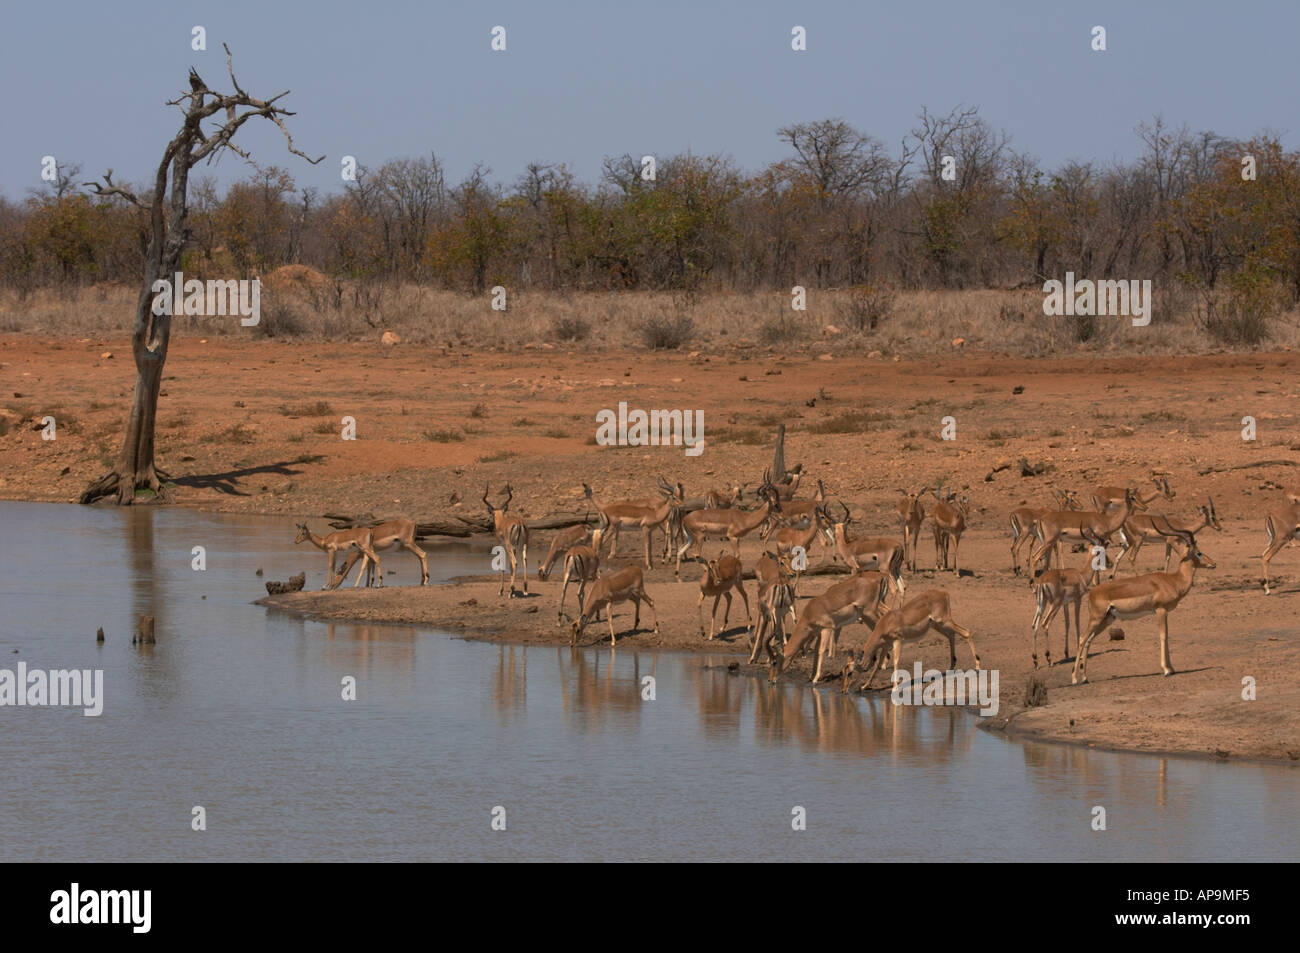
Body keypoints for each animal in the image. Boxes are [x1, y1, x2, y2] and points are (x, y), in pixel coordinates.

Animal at [846, 590, 980, 692]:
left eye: (849, 673)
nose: (844, 690)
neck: (885, 623)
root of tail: (944, 593)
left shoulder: (898, 641)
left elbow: (896, 662)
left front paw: (895, 687)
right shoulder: (885, 645)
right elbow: (878, 666)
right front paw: (865, 686)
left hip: (944, 621)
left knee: (966, 632)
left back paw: (977, 666)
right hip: (937, 625)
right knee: (951, 635)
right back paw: (951, 667)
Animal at [1072, 529, 1215, 684]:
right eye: (1199, 552)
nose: (1213, 563)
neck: (1173, 580)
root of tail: (1092, 592)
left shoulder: (1165, 612)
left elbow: (1167, 635)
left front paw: (1171, 668)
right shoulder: (1160, 610)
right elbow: (1163, 636)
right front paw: (1166, 670)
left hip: (1107, 619)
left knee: (1088, 640)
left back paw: (1085, 677)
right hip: (1096, 618)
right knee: (1082, 639)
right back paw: (1074, 679)